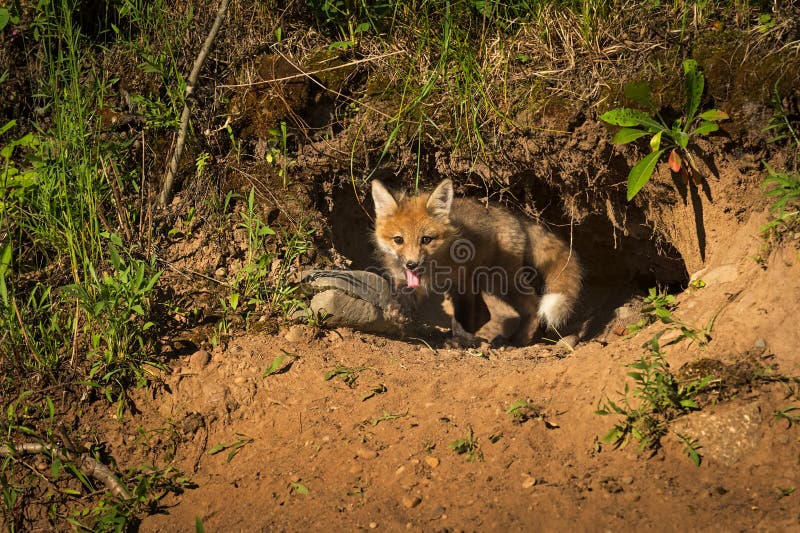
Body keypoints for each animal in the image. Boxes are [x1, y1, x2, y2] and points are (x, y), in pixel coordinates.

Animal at [371, 178, 582, 346]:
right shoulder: (405, 278)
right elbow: (403, 294)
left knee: (531, 305)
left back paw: (516, 341)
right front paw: (397, 310)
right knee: (484, 314)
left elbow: (462, 316)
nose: (412, 264)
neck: (434, 269)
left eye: (426, 239)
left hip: (500, 281)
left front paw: (461, 339)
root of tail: (517, 217)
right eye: (398, 240)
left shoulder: (462, 282)